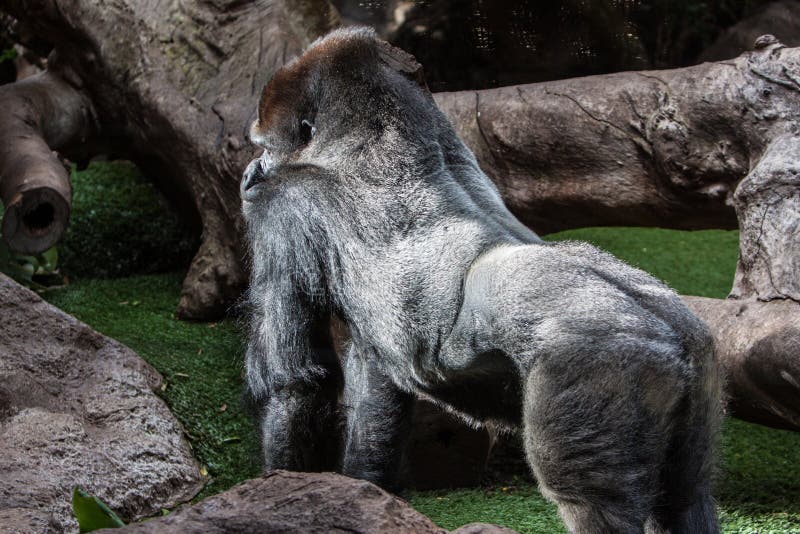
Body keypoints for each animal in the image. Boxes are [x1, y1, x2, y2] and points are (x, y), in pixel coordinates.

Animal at [241, 27, 722, 533]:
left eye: (265, 146)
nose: (249, 173)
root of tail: (669, 336)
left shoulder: (282, 204)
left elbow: (294, 381)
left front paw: (280, 489)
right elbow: (373, 388)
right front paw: (362, 493)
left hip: (603, 362)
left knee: (592, 503)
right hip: (702, 367)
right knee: (686, 497)